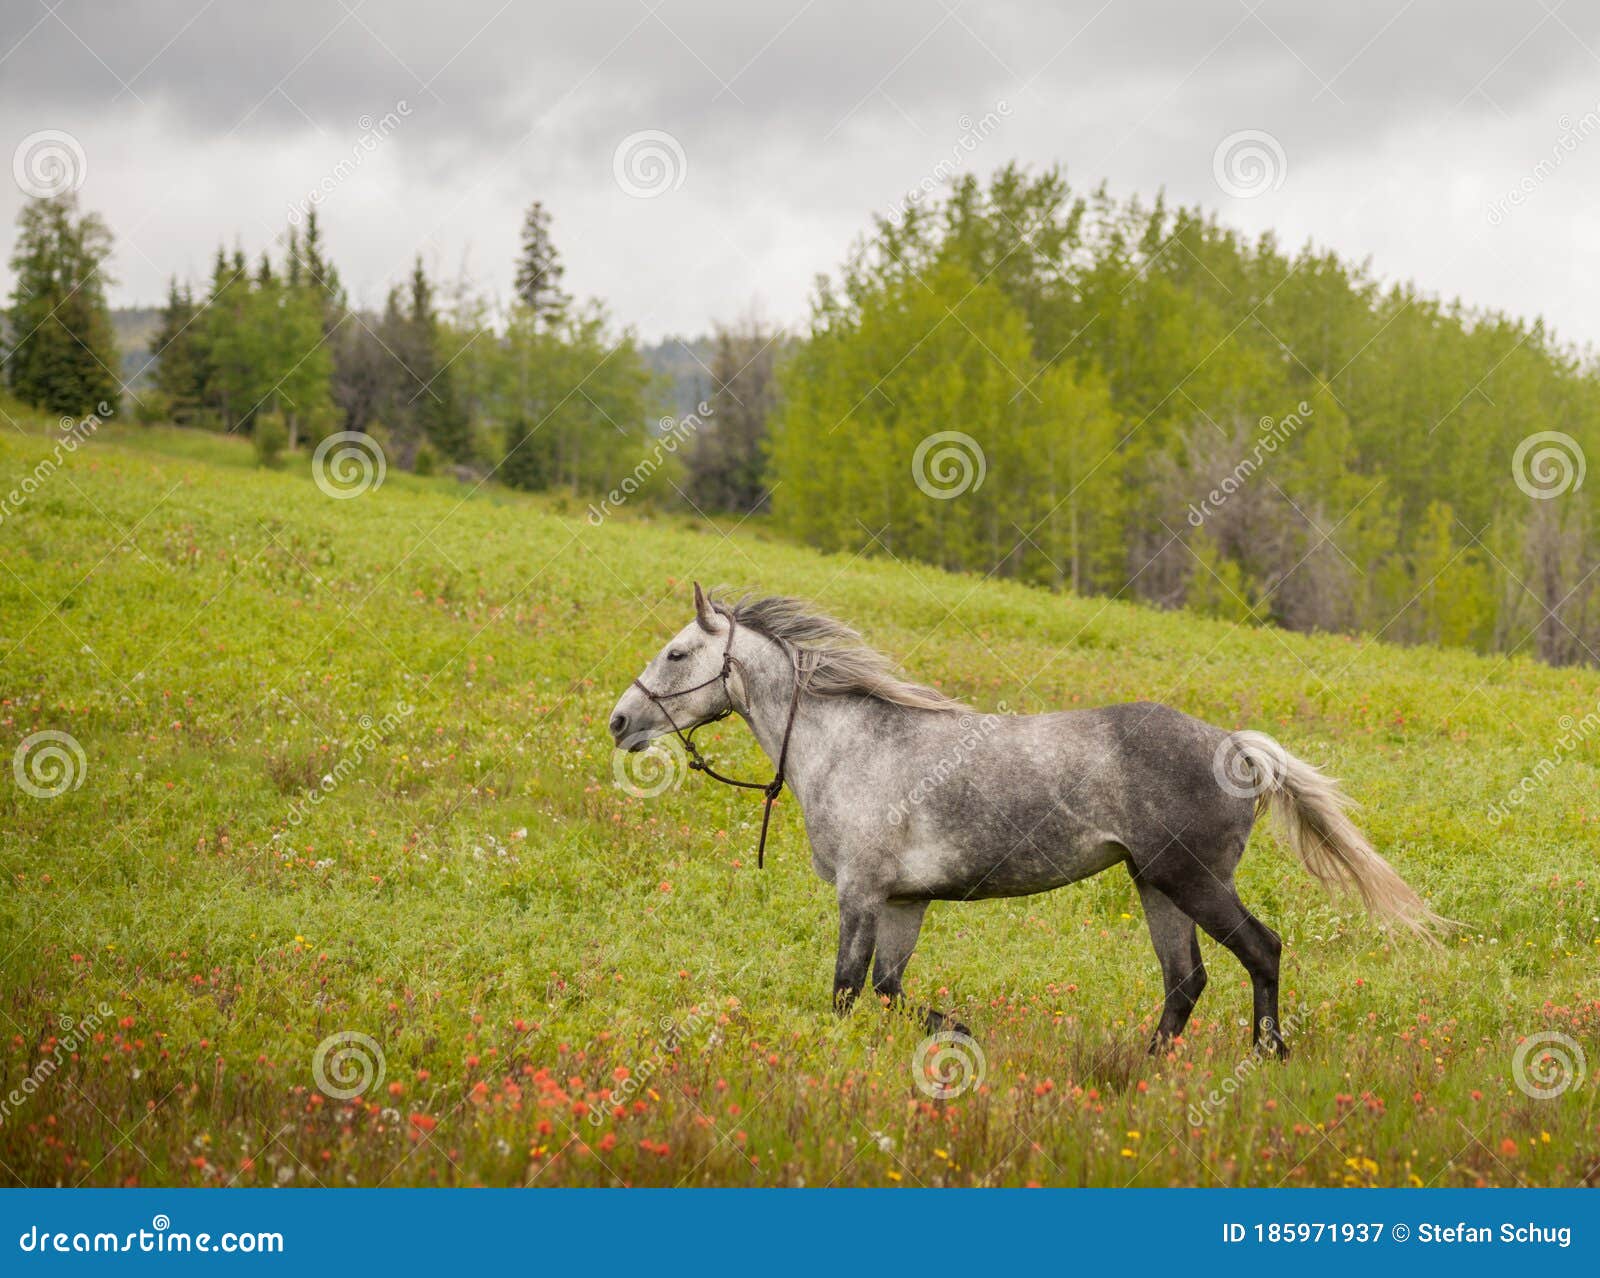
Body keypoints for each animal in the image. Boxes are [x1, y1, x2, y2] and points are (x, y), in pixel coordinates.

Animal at [609, 584, 1444, 1057]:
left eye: (678, 653)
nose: (620, 723)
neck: (853, 746)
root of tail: (1237, 747)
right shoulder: (905, 903)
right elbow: (887, 991)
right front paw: (958, 1033)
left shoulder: (861, 894)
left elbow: (846, 990)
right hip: (1155, 887)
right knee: (1185, 982)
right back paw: (1140, 1071)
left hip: (1193, 880)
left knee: (1261, 952)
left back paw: (1266, 1055)